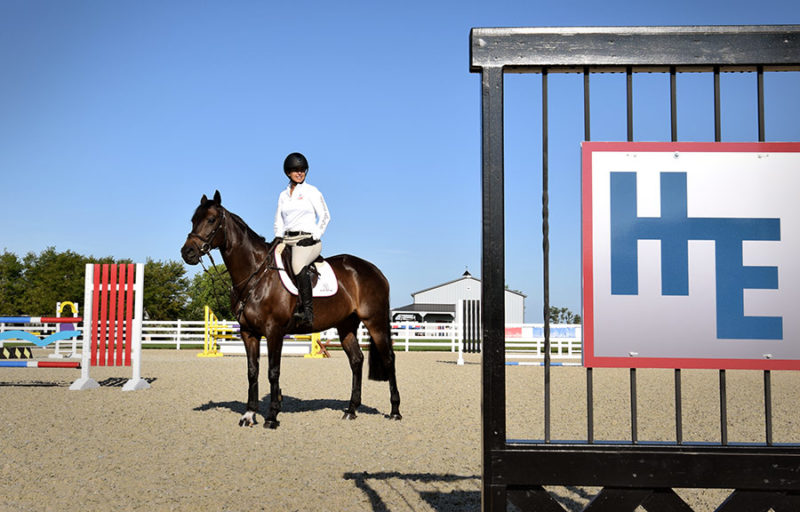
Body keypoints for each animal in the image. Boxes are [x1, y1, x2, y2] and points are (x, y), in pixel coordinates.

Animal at [181, 191, 401, 428]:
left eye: (211, 220)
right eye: (193, 220)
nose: (187, 252)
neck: (255, 274)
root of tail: (374, 270)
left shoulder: (274, 331)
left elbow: (273, 371)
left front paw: (271, 417)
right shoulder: (249, 333)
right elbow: (252, 371)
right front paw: (249, 415)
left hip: (375, 322)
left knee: (389, 359)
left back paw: (395, 411)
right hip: (346, 326)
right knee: (356, 360)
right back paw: (351, 410)